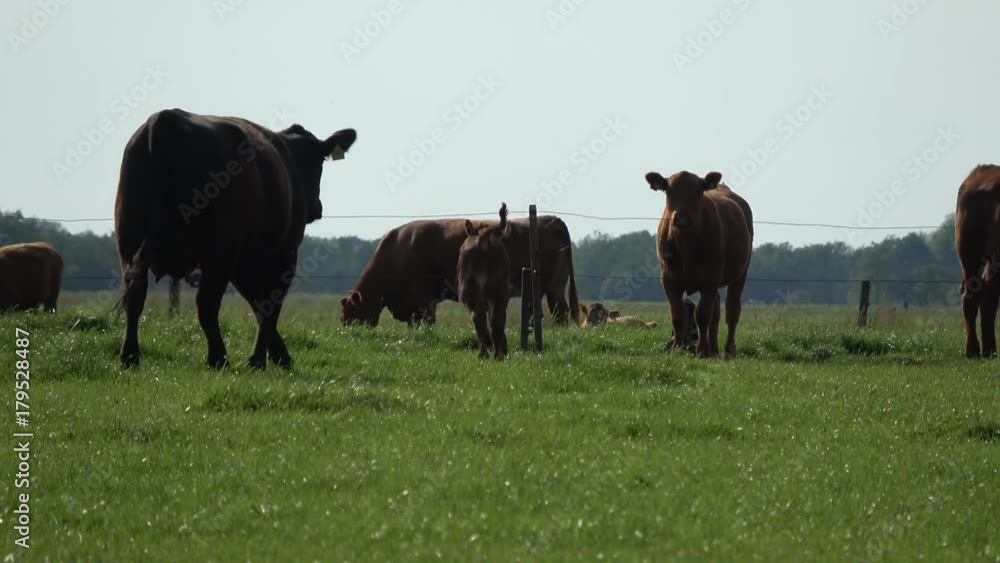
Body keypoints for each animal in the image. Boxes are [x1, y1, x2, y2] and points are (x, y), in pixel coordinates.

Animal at [115, 108, 356, 370]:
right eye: (320, 163)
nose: (317, 208)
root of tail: (165, 119)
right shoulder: (285, 252)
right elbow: (270, 302)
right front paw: (260, 359)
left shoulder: (243, 260)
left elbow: (257, 301)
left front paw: (278, 355)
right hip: (220, 250)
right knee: (207, 302)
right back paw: (218, 358)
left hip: (128, 242)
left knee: (135, 293)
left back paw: (130, 355)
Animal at [340, 215, 579, 327]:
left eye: (349, 317)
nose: (346, 334)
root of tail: (552, 219)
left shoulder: (422, 299)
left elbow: (425, 321)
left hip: (553, 286)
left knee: (560, 311)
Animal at [457, 203, 511, 360]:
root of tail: (483, 239)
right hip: (500, 288)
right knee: (497, 319)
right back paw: (499, 354)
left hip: (468, 289)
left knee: (478, 316)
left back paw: (484, 353)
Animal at [645, 170, 754, 358]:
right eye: (668, 192)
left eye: (698, 192)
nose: (681, 218)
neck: (686, 245)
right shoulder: (669, 280)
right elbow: (677, 315)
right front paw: (677, 348)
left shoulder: (710, 280)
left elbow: (702, 316)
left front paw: (702, 350)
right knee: (716, 312)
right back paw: (714, 350)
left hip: (740, 274)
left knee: (732, 310)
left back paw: (728, 351)